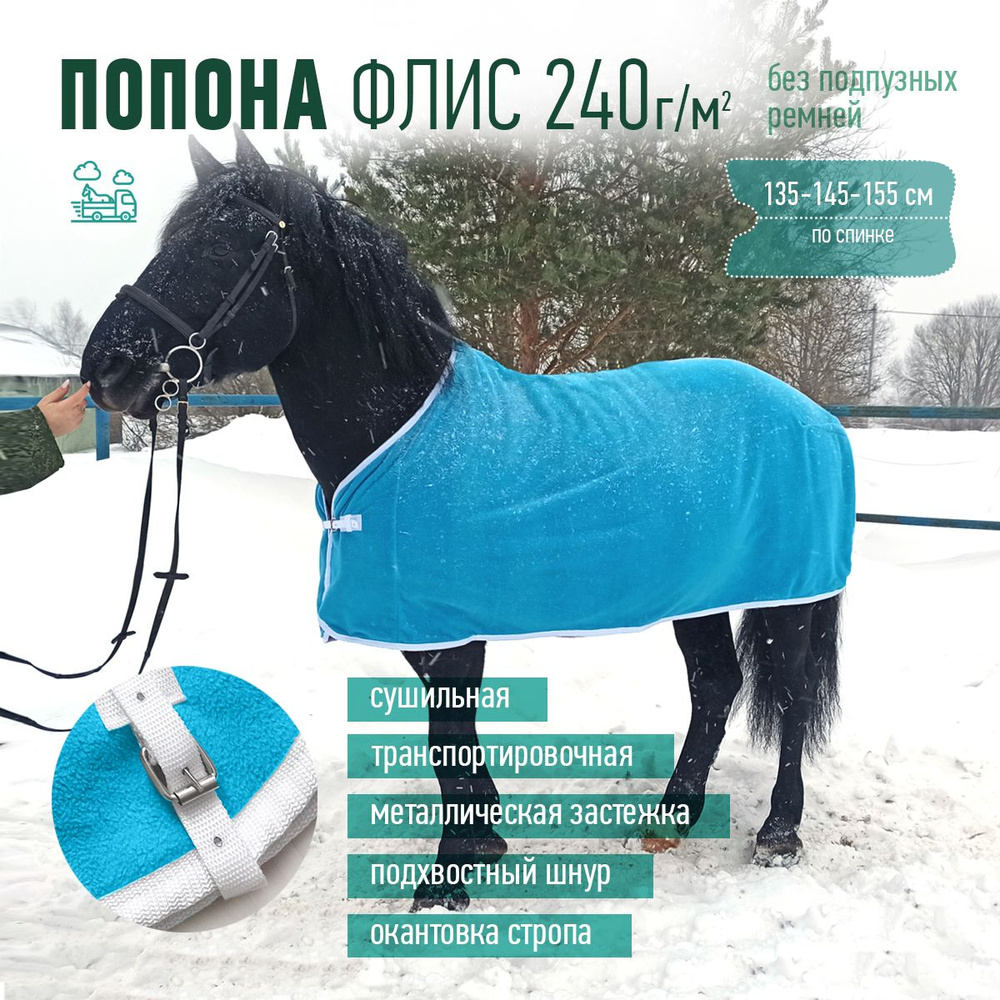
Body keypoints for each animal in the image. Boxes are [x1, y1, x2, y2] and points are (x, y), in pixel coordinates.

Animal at [80, 128, 854, 911]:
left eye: (226, 246)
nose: (106, 369)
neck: (399, 431)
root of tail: (813, 415)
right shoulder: (427, 631)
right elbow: (451, 737)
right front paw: (482, 841)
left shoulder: (450, 630)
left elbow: (447, 734)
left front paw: (448, 874)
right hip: (700, 594)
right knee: (715, 684)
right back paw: (671, 814)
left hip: (790, 597)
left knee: (789, 696)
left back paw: (779, 834)